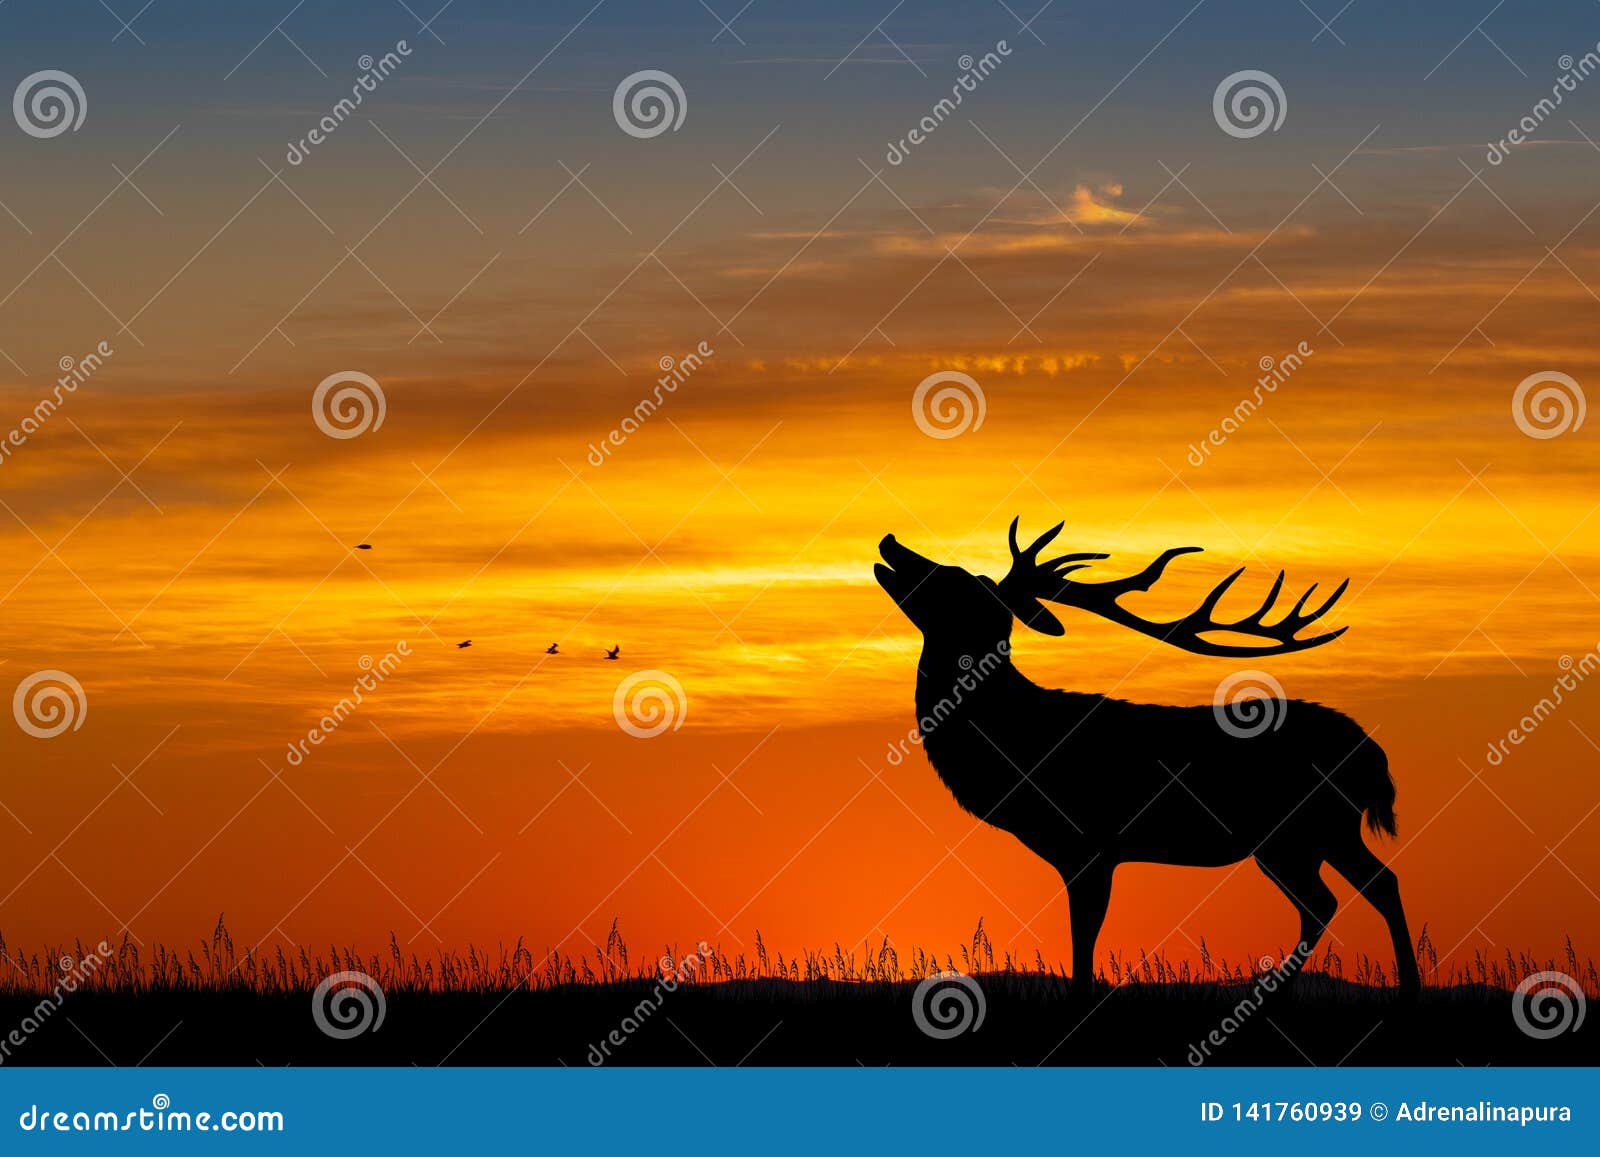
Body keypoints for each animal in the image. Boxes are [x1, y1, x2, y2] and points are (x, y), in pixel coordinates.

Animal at [874, 518, 1420, 998]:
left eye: (952, 583)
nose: (891, 542)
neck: (1015, 744)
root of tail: (1375, 758)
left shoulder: (1090, 842)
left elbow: (1084, 939)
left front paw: (1080, 1003)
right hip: (1309, 837)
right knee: (1350, 893)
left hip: (1309, 828)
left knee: (1349, 894)